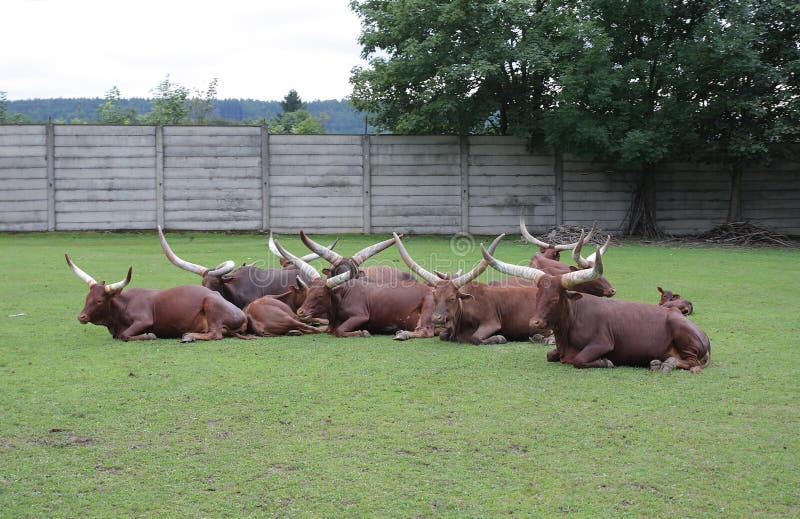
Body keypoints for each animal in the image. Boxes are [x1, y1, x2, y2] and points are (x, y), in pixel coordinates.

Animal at [65, 254, 246, 342]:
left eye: (99, 301)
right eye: (87, 297)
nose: (81, 317)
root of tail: (242, 315)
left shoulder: (144, 320)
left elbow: (125, 335)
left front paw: (148, 336)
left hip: (210, 304)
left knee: (216, 334)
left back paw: (189, 335)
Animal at [272, 236, 435, 340]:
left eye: (320, 295)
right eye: (309, 293)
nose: (301, 312)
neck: (343, 295)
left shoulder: (360, 316)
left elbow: (339, 330)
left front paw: (362, 332)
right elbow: (320, 328)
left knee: (426, 331)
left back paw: (402, 334)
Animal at [394, 233, 543, 344]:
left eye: (452, 298)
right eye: (434, 297)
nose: (436, 318)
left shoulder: (492, 323)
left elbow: (475, 338)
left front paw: (499, 338)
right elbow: (443, 335)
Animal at [480, 237, 711, 373]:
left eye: (554, 299)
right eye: (537, 296)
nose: (534, 323)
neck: (572, 322)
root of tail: (704, 336)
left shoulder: (602, 343)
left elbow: (578, 359)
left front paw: (606, 362)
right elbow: (549, 354)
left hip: (683, 335)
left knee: (693, 362)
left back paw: (666, 364)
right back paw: (658, 362)